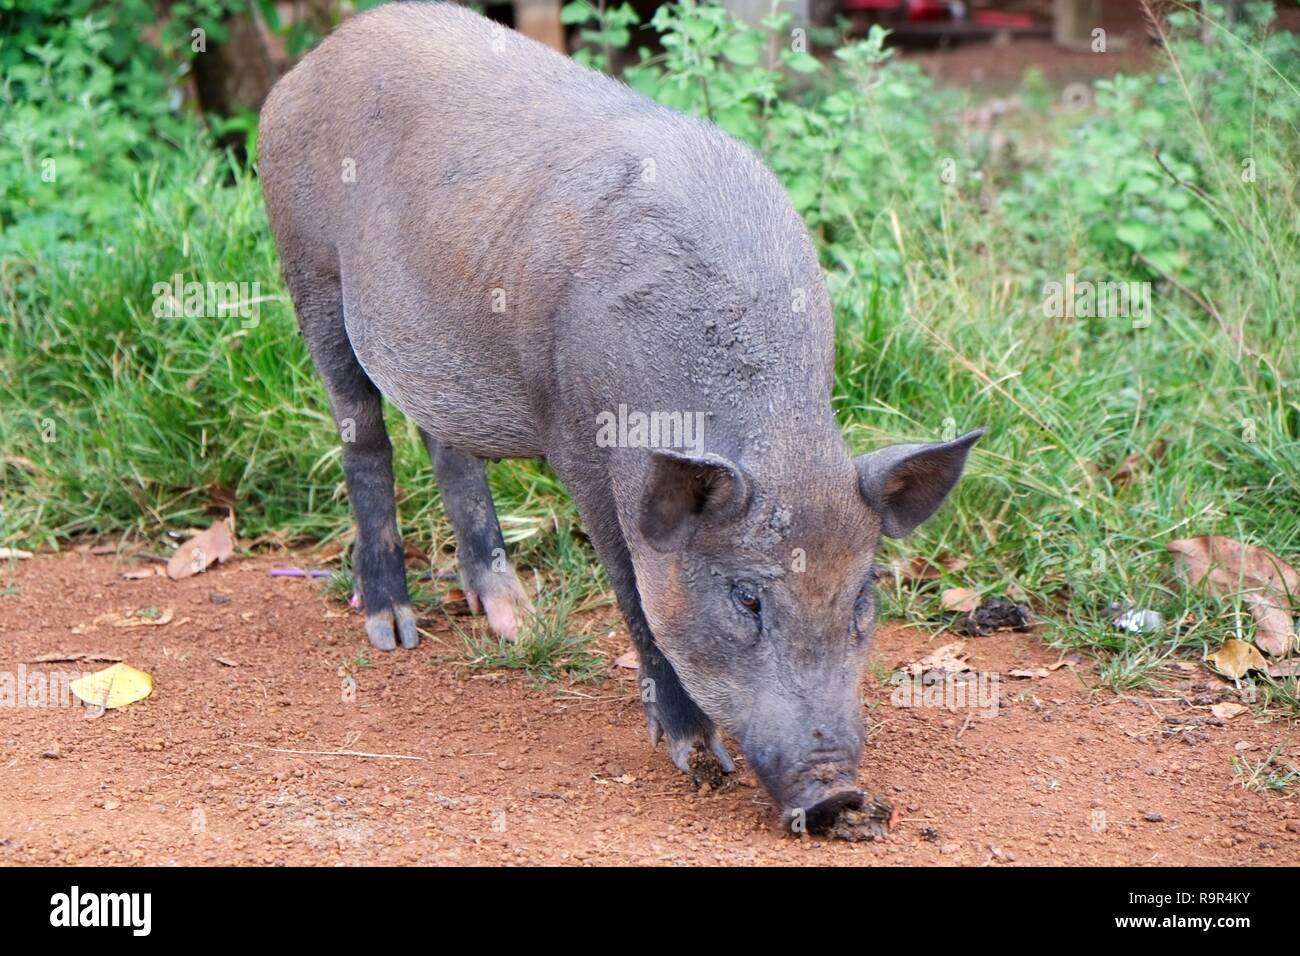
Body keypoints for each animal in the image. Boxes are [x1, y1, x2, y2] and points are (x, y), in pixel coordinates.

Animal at [257, 1, 982, 832]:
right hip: (308, 267)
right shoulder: (576, 439)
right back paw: (392, 631)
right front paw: (698, 760)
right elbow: (632, 587)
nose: (837, 794)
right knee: (363, 432)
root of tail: (310, 64)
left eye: (863, 596)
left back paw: (515, 620)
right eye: (747, 597)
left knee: (444, 441)